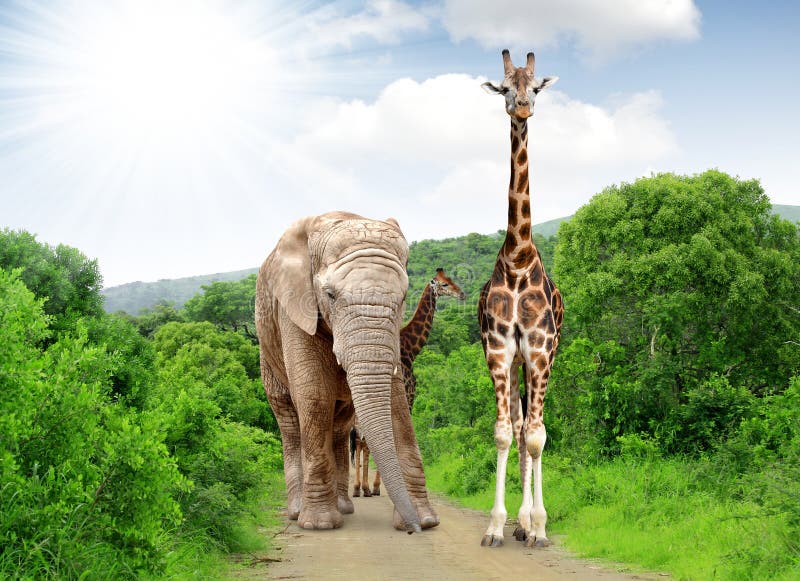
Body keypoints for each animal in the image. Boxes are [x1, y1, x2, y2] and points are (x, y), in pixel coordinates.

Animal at [255, 211, 439, 533]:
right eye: (329, 295)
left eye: (403, 297)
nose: (413, 529)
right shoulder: (294, 306)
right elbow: (314, 395)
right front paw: (318, 524)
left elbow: (396, 404)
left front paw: (425, 519)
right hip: (268, 354)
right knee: (289, 422)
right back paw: (298, 510)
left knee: (340, 428)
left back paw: (344, 506)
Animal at [351, 268, 465, 497]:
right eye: (444, 284)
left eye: (451, 279)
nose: (462, 294)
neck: (411, 349)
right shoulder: (409, 397)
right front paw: (381, 486)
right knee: (363, 440)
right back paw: (365, 487)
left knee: (358, 440)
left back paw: (358, 488)